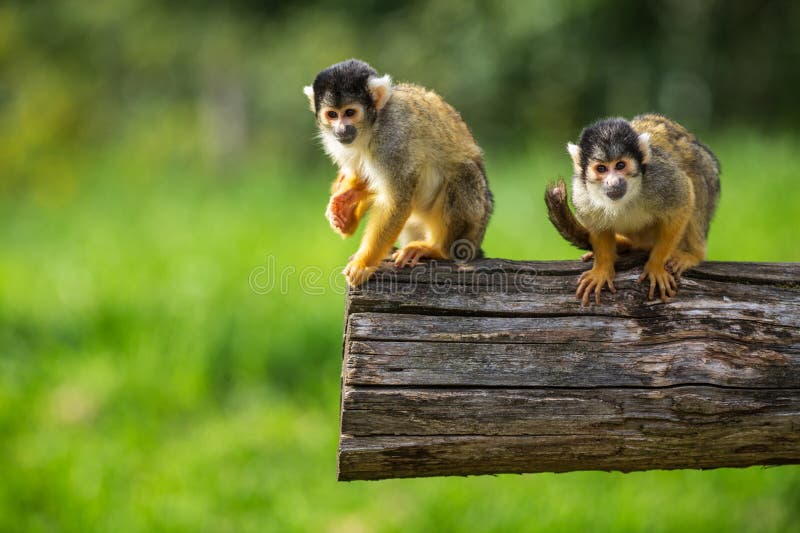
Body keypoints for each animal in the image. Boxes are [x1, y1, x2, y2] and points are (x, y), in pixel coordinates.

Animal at [304, 59, 494, 286]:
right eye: (332, 114)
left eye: (350, 113)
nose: (341, 130)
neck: (372, 126)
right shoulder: (339, 143)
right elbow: (360, 173)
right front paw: (347, 200)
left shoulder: (392, 138)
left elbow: (396, 200)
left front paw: (363, 264)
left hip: (475, 224)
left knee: (464, 172)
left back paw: (438, 249)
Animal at [545, 114, 720, 305]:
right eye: (601, 168)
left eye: (620, 165)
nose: (613, 182)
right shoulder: (581, 192)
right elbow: (598, 226)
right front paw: (602, 269)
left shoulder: (659, 178)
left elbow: (683, 200)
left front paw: (656, 266)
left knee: (697, 176)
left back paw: (693, 254)